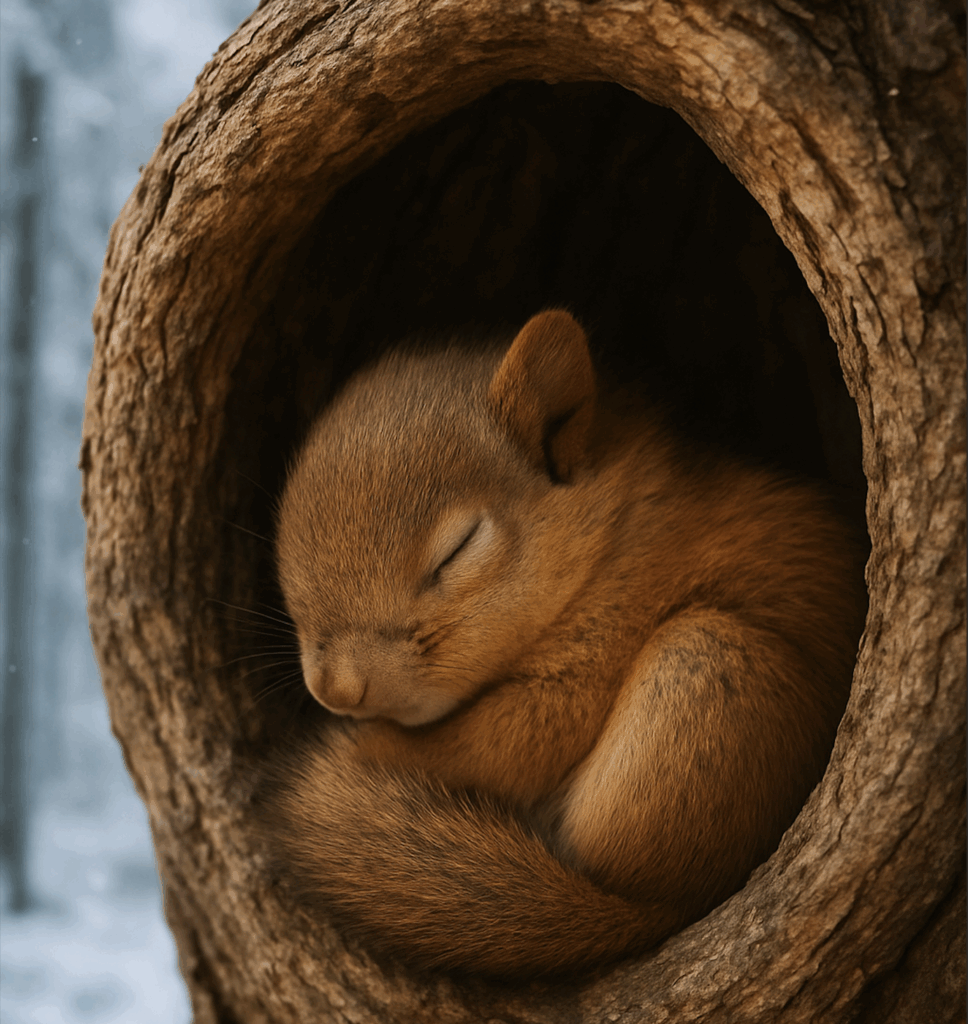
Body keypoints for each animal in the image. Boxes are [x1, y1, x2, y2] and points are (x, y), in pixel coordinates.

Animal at [265, 310, 867, 978]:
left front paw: (362, 746)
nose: (337, 691)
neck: (611, 529)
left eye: (458, 549)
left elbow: (513, 740)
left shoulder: (610, 630)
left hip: (703, 672)